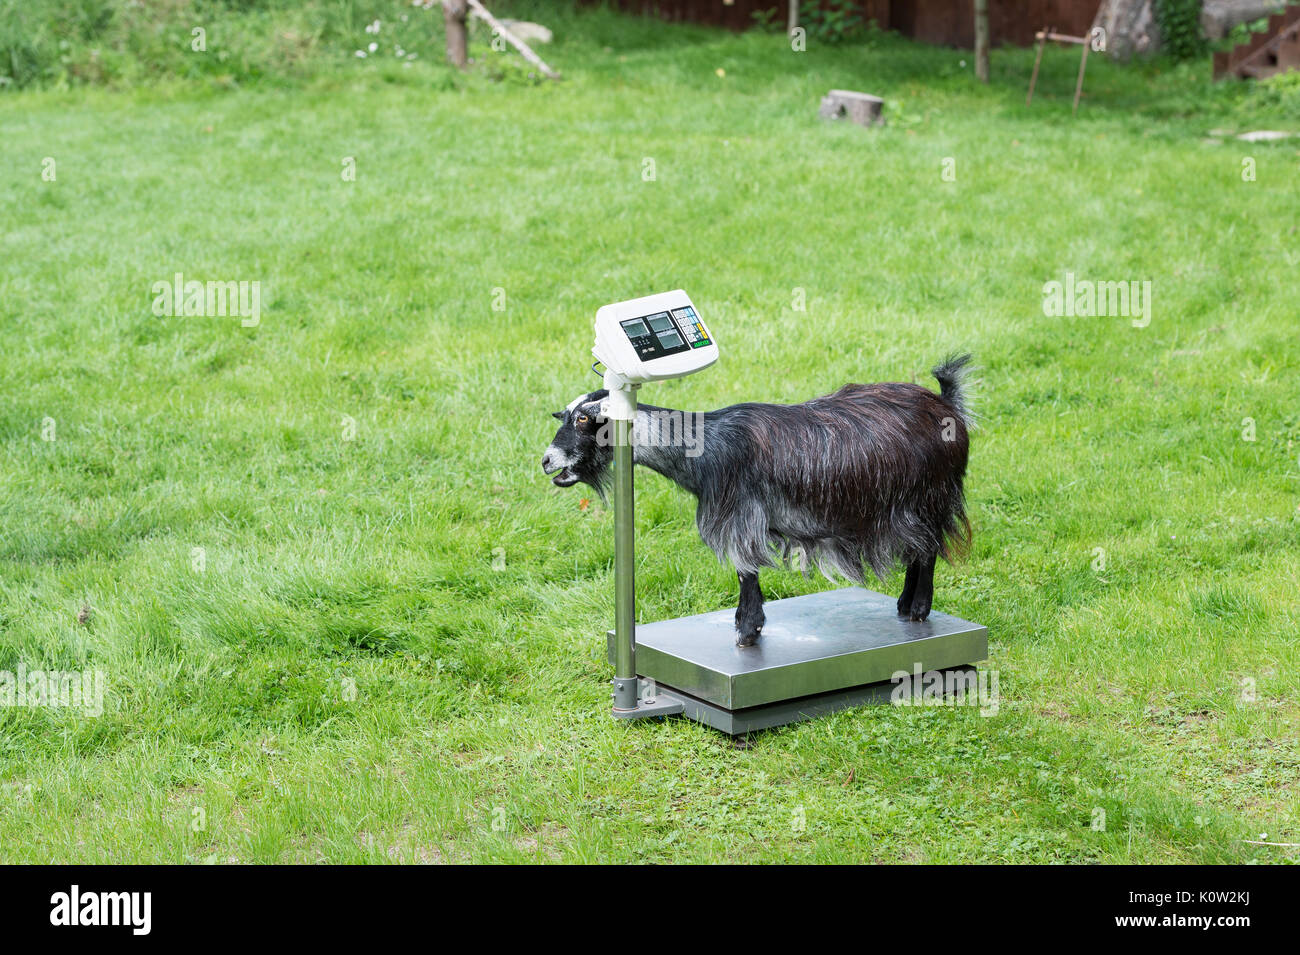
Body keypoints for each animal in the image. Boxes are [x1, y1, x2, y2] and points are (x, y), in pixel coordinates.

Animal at [542, 355, 974, 647]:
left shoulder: (740, 516)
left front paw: (747, 632)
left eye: (585, 419)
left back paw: (917, 610)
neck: (707, 447)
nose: (548, 461)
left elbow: (745, 570)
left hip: (928, 498)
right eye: (565, 416)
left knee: (927, 550)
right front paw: (745, 625)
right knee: (919, 550)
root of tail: (949, 406)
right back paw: (903, 605)